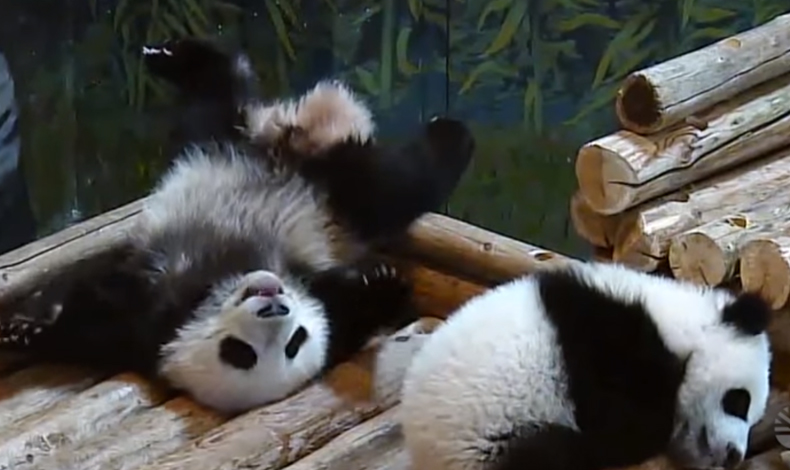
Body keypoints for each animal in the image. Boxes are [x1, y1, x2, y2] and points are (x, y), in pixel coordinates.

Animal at [0, 38, 475, 414]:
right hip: (229, 148)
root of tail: (285, 142)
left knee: (398, 183)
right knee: (222, 100)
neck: (222, 279)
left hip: (306, 183)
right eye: (239, 352)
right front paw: (28, 326)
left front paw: (381, 282)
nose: (274, 302)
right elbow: (89, 306)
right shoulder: (146, 316)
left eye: (294, 342)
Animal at [398, 261, 772, 470]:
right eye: (739, 400)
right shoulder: (604, 343)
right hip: (483, 442)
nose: (734, 456)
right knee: (548, 454)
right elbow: (621, 424)